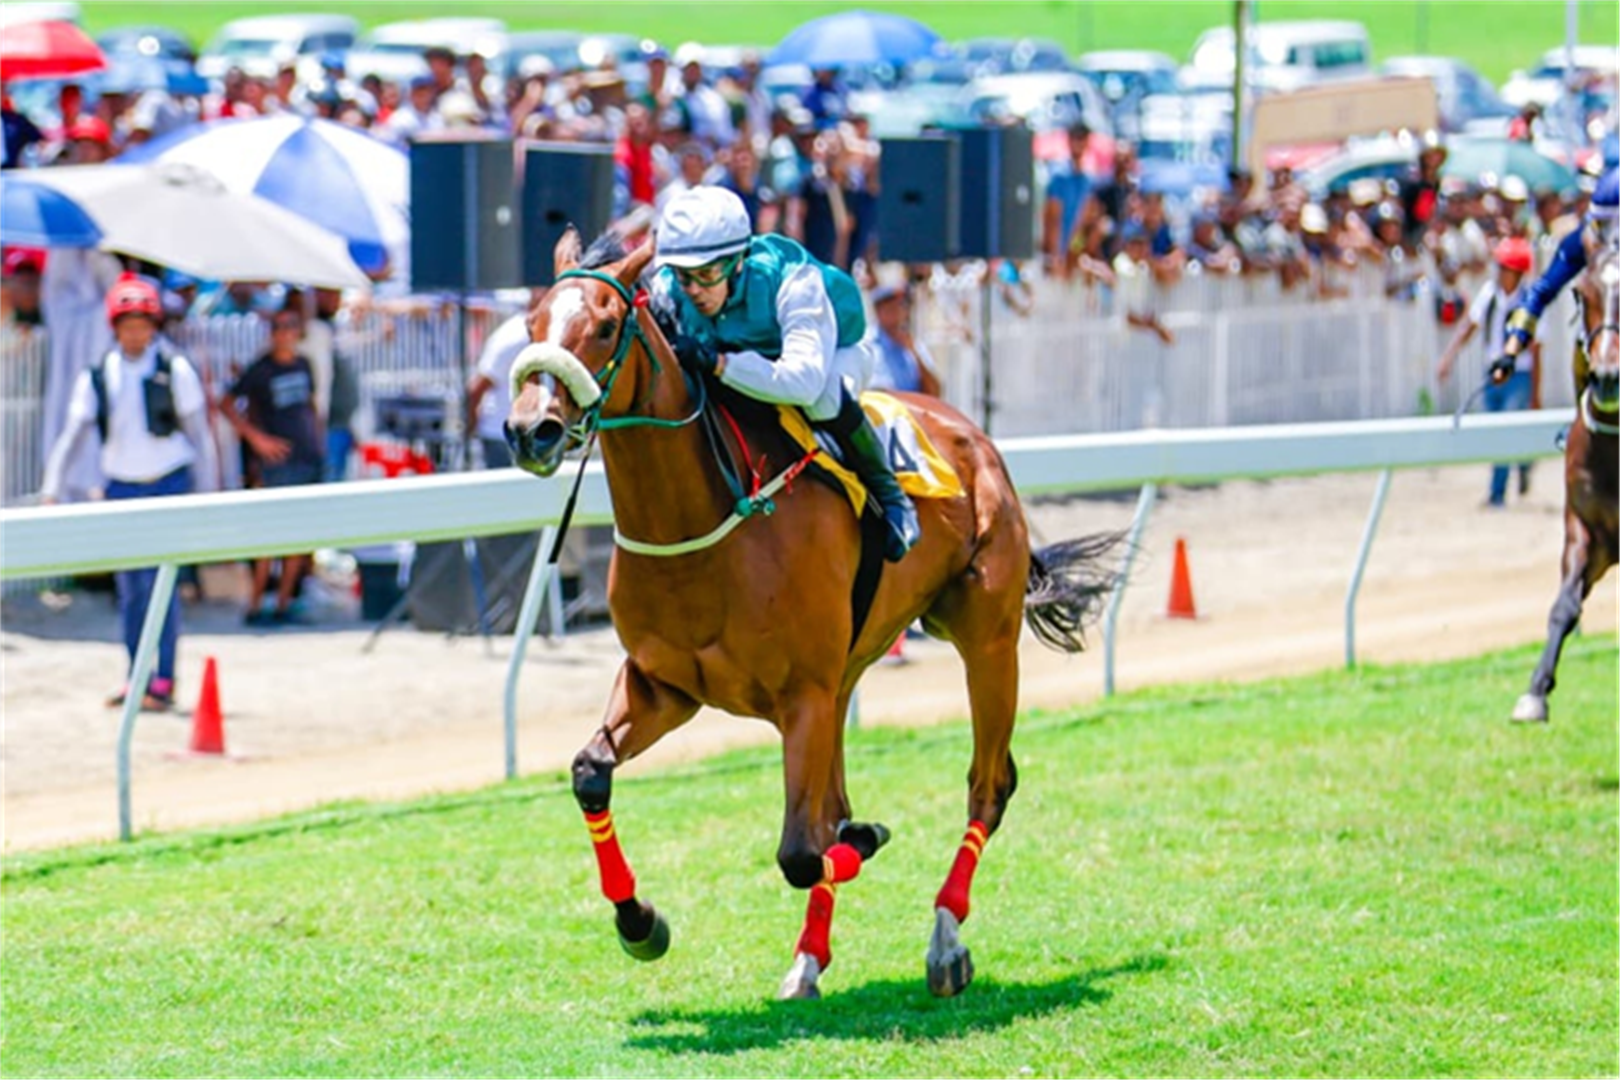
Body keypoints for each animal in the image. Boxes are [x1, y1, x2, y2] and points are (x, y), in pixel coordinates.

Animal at [503, 230, 1117, 1000]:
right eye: (530, 324)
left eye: (608, 326)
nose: (530, 430)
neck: (702, 524)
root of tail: (969, 432)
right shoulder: (664, 686)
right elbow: (590, 772)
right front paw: (640, 922)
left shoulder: (802, 696)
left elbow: (800, 852)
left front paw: (868, 842)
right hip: (848, 672)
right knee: (842, 801)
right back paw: (809, 958)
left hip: (984, 639)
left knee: (988, 786)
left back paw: (945, 938)